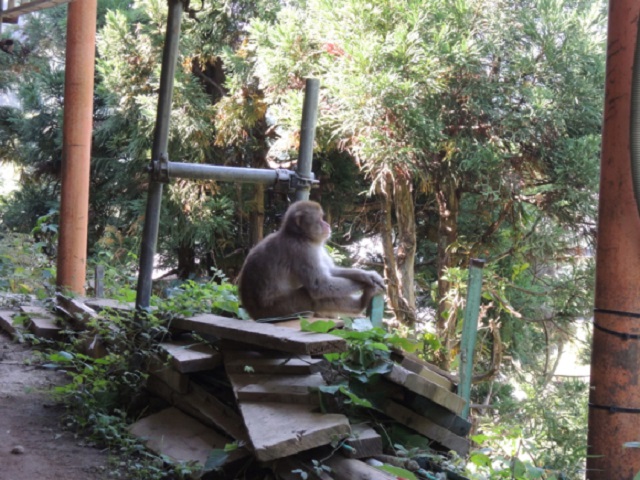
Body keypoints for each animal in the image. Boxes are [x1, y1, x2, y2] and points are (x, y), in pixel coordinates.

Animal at [238, 201, 385, 320]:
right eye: (319, 219)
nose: (327, 225)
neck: (301, 236)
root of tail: (254, 314)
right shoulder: (301, 251)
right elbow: (320, 285)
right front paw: (366, 284)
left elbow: (331, 271)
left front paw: (367, 276)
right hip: (278, 308)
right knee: (312, 297)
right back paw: (361, 304)